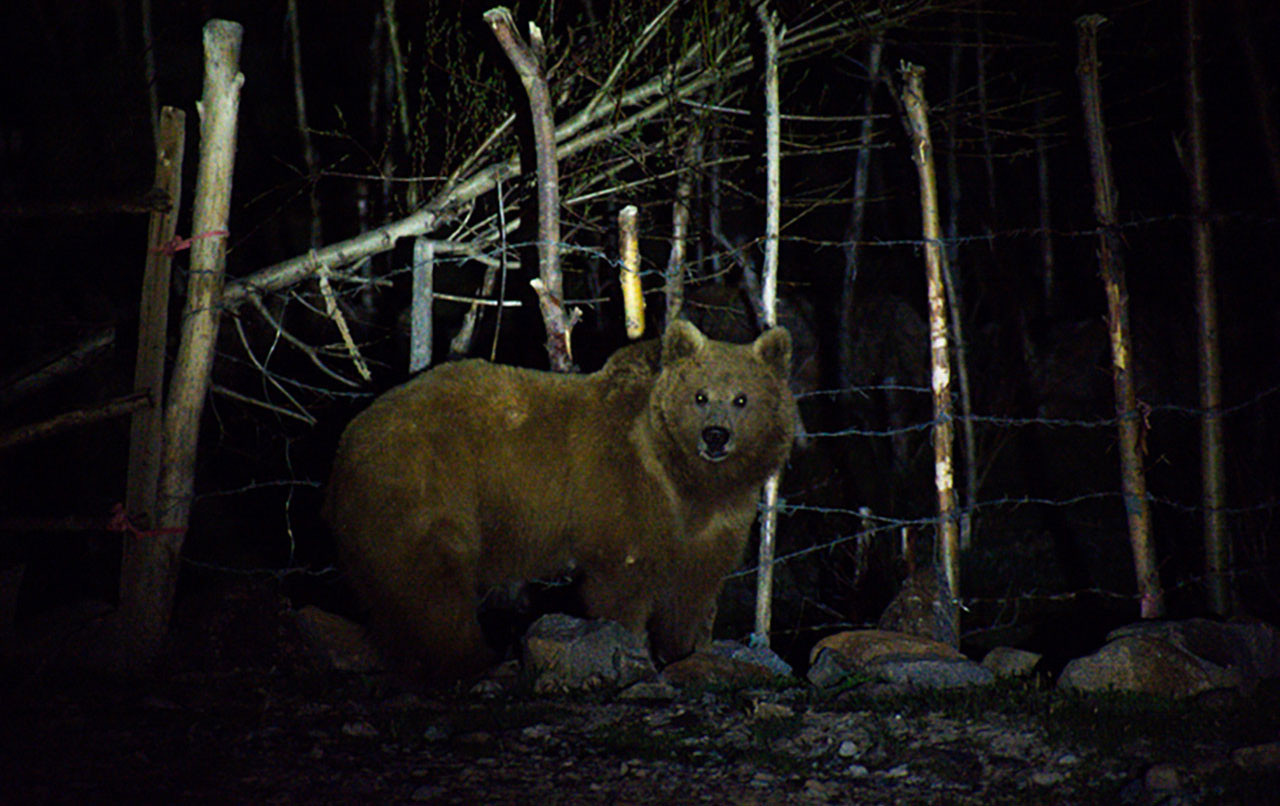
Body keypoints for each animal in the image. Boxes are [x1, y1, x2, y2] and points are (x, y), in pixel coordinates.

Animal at [322, 319, 797, 680]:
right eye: (699, 396)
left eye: (742, 399)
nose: (715, 436)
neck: (685, 479)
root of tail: (350, 437)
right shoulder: (623, 490)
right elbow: (622, 582)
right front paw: (631, 648)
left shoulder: (713, 524)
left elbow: (693, 588)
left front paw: (684, 651)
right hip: (428, 485)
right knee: (432, 583)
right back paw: (476, 658)